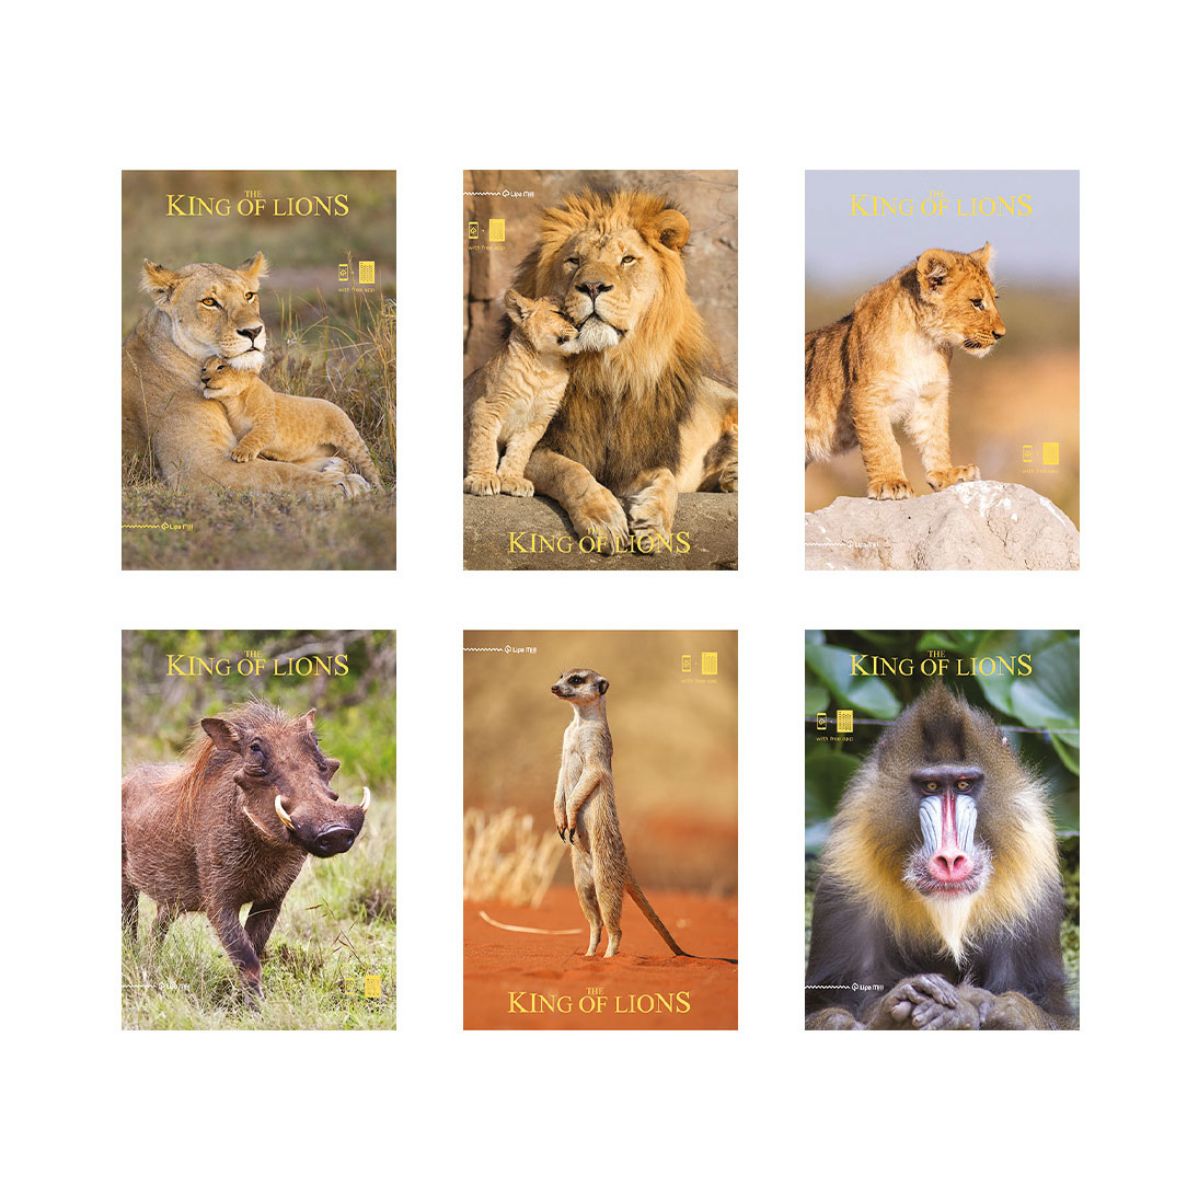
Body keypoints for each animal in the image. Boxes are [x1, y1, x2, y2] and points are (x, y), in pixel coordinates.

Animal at [199, 356, 382, 488]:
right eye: (204, 368)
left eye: (221, 367)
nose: (203, 379)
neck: (234, 401)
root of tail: (337, 406)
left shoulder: (267, 425)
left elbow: (254, 437)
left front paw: (240, 454)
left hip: (351, 440)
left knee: (369, 465)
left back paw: (379, 489)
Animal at [465, 191, 738, 553]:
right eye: (574, 261)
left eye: (627, 260)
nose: (593, 286)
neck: (608, 371)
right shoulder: (546, 446)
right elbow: (572, 471)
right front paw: (604, 519)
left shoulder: (638, 456)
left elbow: (666, 480)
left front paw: (655, 524)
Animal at [805, 243, 1005, 500]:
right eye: (977, 302)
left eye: (994, 299)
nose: (1001, 334)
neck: (923, 343)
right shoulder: (867, 395)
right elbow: (882, 443)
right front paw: (891, 482)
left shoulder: (929, 396)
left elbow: (936, 435)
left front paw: (947, 474)